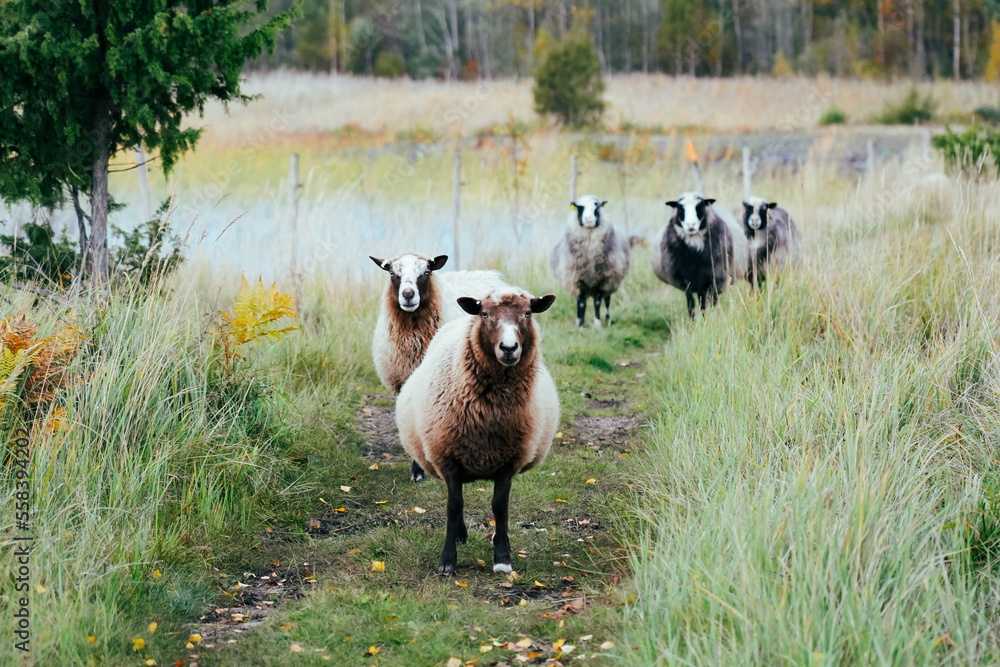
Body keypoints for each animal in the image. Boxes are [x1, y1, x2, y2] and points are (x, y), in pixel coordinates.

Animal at [395, 288, 560, 576]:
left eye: (528, 313)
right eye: (484, 314)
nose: (508, 348)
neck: (491, 410)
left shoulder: (509, 460)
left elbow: (500, 506)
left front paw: (503, 557)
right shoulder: (448, 458)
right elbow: (453, 506)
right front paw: (447, 561)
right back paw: (460, 534)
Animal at [550, 195, 631, 327]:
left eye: (596, 206)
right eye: (580, 207)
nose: (588, 219)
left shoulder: (602, 280)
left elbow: (597, 302)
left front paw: (597, 324)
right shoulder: (577, 280)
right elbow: (581, 303)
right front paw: (580, 324)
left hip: (611, 282)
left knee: (607, 301)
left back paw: (608, 320)